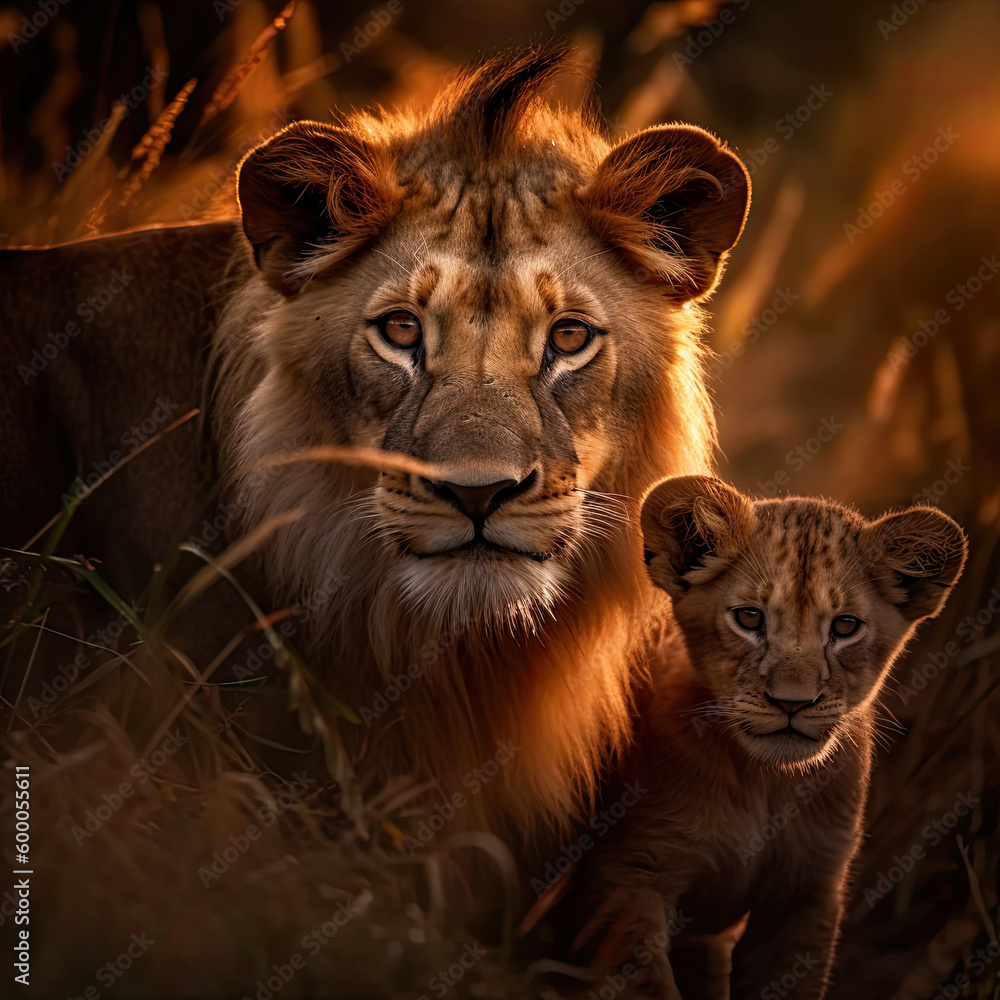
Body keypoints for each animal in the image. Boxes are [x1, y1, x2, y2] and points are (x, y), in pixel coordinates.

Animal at [566, 476, 967, 998]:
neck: (765, 782)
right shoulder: (629, 878)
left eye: (845, 626)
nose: (792, 703)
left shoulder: (808, 893)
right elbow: (647, 984)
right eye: (750, 618)